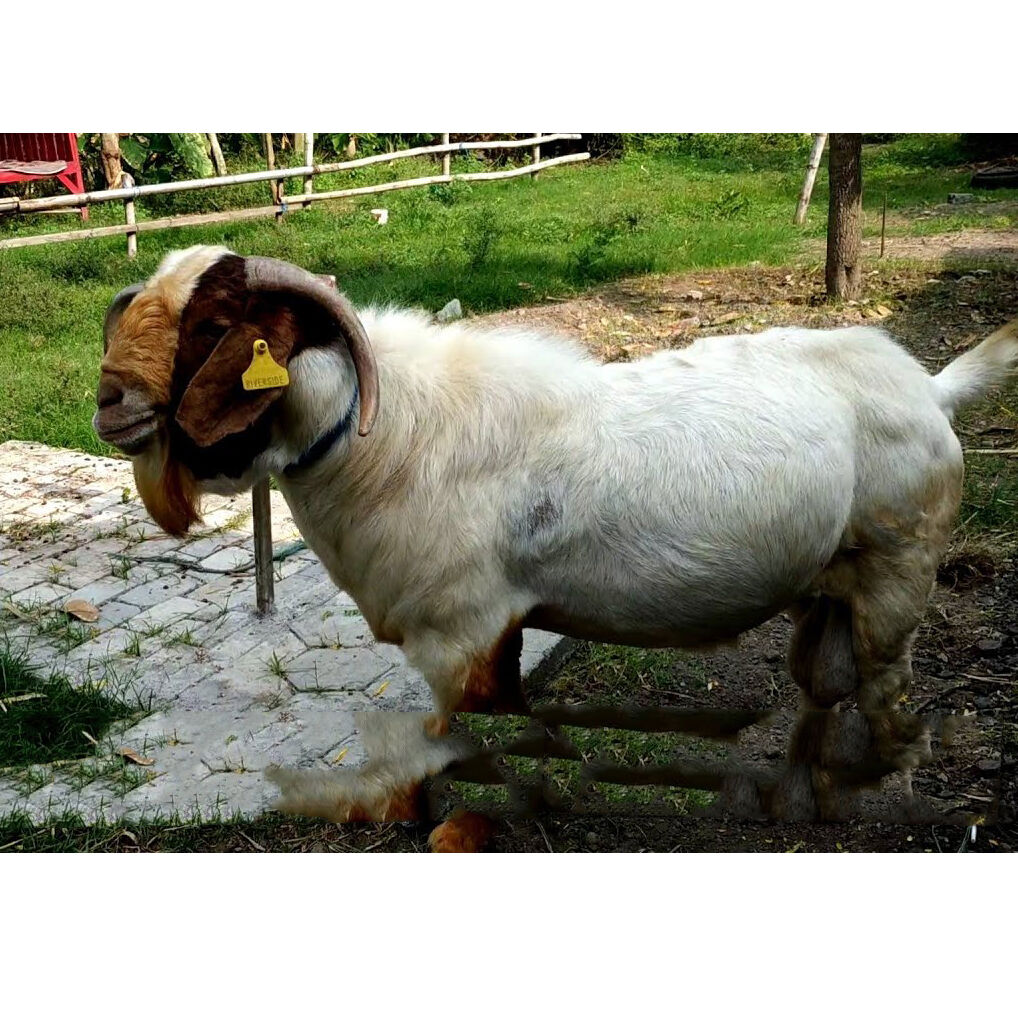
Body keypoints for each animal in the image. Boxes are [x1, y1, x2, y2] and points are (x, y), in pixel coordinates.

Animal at [95, 245, 1018, 844]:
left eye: (215, 324)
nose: (109, 403)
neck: (390, 435)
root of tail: (931, 386)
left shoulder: (456, 630)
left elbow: (455, 747)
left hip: (902, 566)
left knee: (892, 704)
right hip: (829, 580)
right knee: (824, 690)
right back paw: (799, 806)